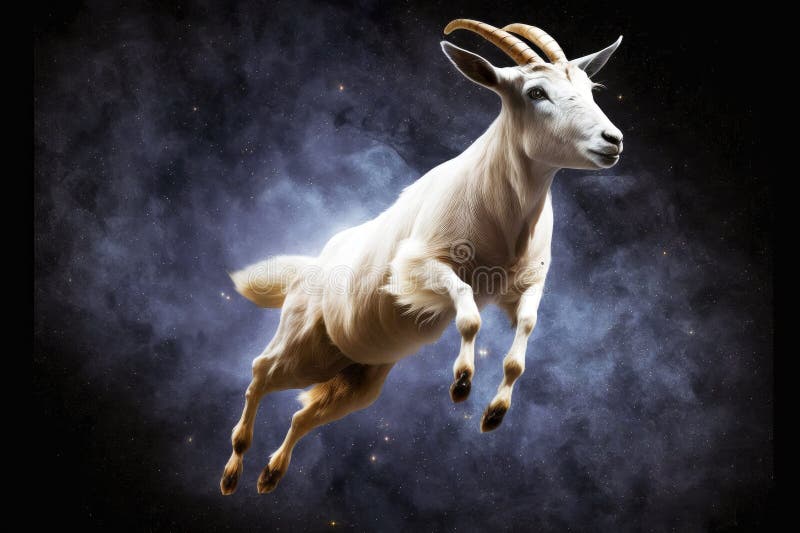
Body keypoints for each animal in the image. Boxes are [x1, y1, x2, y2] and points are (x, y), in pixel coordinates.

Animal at [220, 18, 624, 495]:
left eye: (591, 87)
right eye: (536, 92)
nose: (613, 140)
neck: (500, 207)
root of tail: (313, 265)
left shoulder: (527, 284)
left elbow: (523, 332)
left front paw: (494, 413)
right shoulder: (416, 266)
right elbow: (468, 311)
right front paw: (462, 383)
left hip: (359, 377)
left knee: (305, 413)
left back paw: (270, 474)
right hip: (304, 344)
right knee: (261, 371)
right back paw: (233, 469)